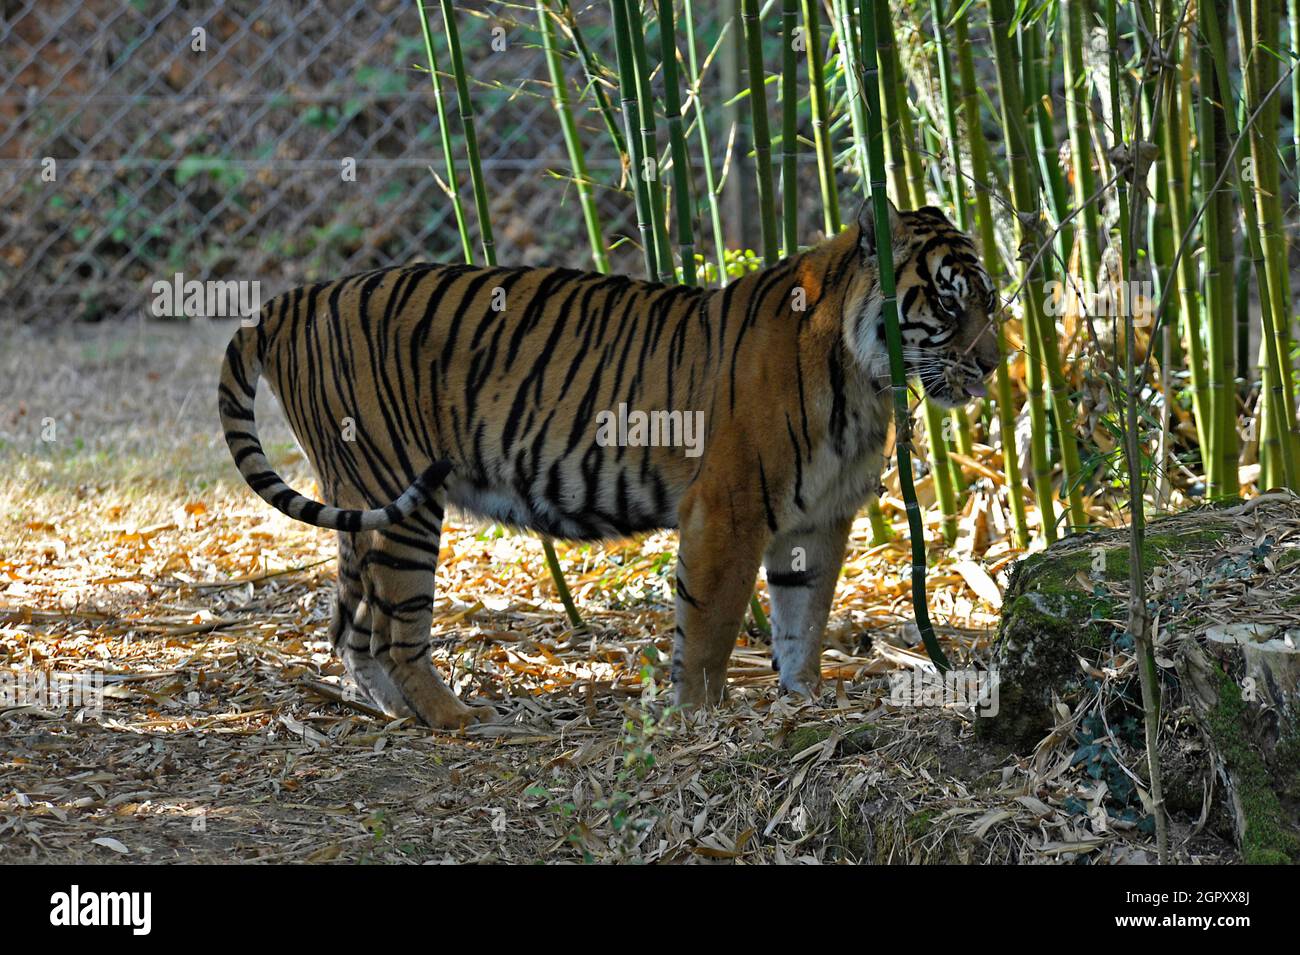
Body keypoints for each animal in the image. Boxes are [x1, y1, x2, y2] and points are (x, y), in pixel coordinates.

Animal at [218, 199, 999, 729]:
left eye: (990, 301)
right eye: (949, 302)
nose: (996, 363)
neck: (867, 380)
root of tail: (296, 297)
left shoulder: (822, 519)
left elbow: (802, 620)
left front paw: (802, 701)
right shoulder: (729, 507)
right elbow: (711, 624)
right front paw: (700, 715)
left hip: (361, 497)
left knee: (348, 624)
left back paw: (394, 713)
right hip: (397, 496)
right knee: (391, 627)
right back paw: (457, 717)